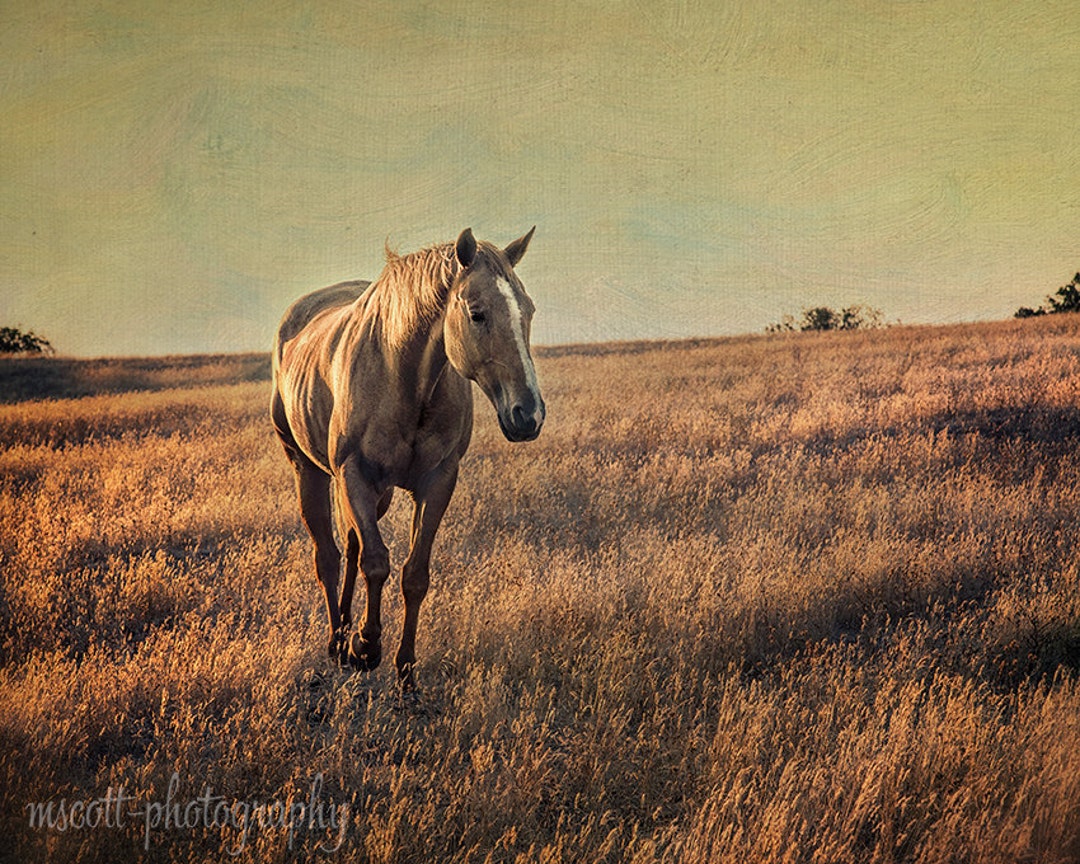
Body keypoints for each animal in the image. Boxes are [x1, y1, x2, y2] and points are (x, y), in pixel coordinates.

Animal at [271, 227, 544, 689]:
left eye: (528, 310)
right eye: (477, 314)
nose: (529, 415)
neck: (403, 378)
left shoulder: (437, 481)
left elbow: (414, 575)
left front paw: (406, 672)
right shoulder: (355, 475)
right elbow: (376, 562)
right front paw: (366, 647)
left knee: (350, 545)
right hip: (308, 470)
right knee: (328, 556)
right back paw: (338, 641)